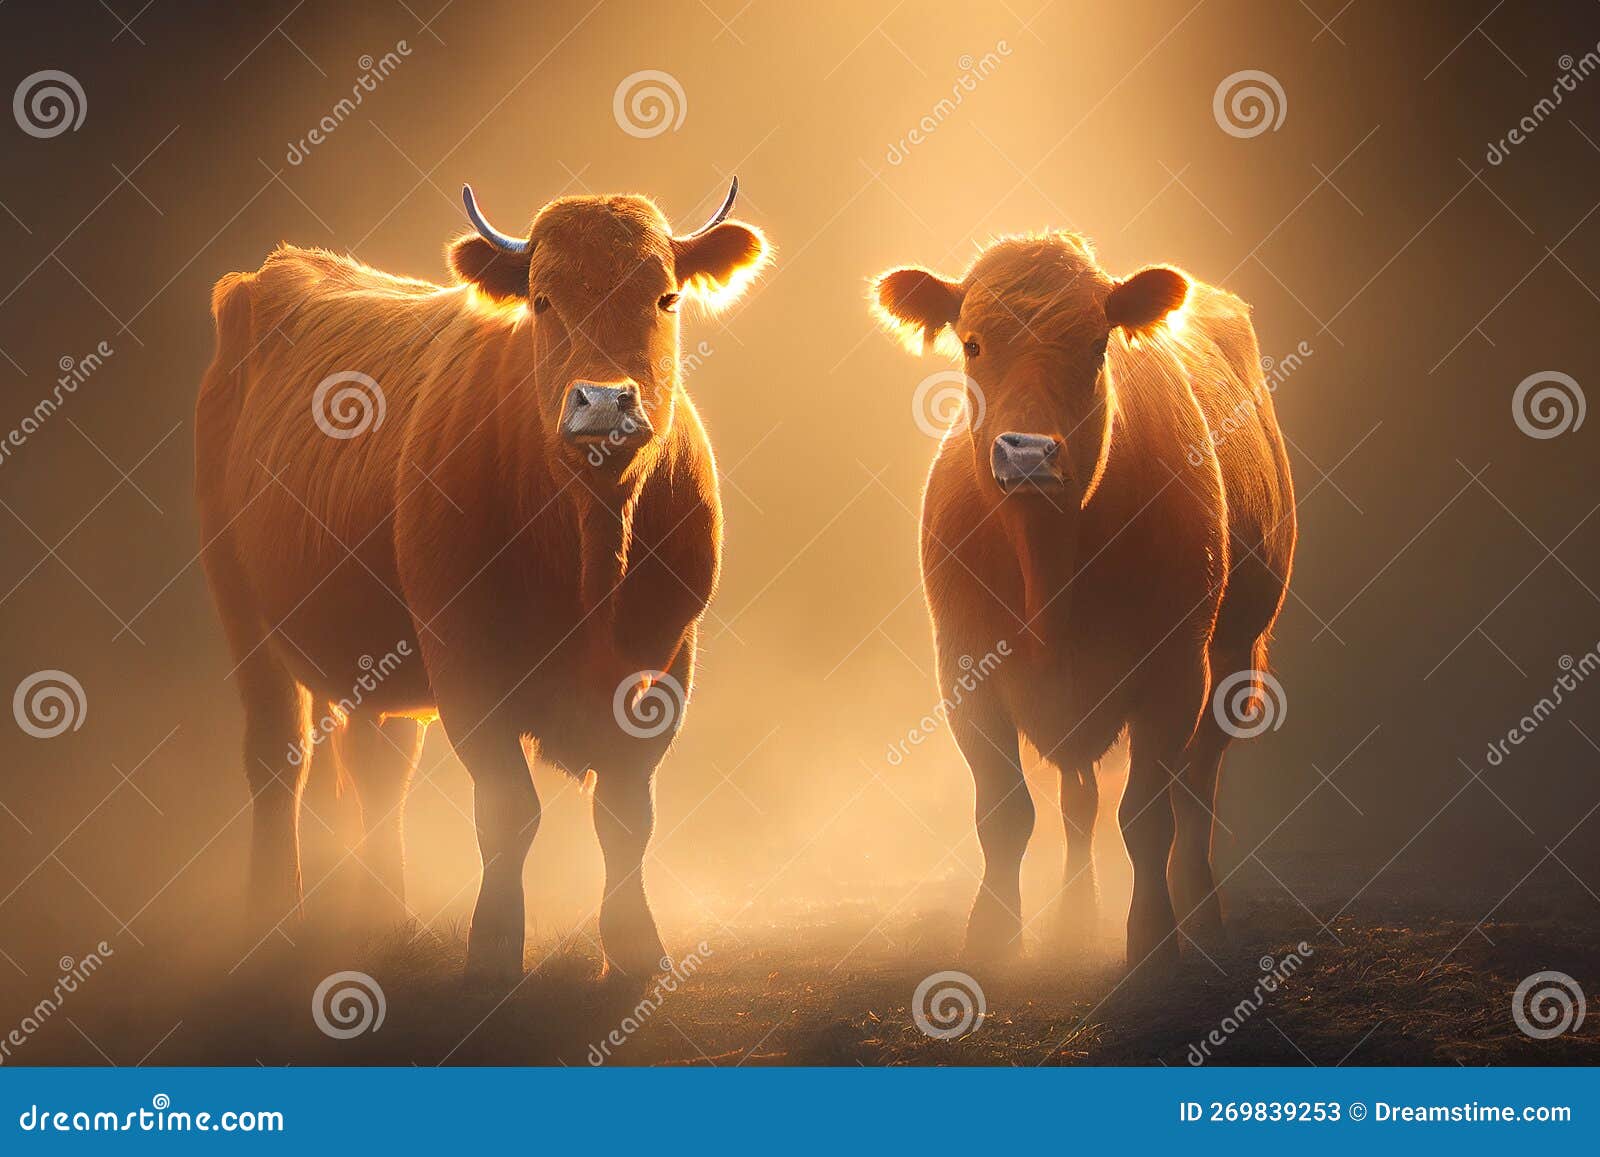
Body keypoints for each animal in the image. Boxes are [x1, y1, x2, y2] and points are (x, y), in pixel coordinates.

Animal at [196, 179, 768, 981]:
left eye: (665, 297)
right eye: (543, 300)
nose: (604, 401)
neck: (592, 546)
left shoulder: (668, 660)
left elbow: (627, 810)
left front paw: (635, 947)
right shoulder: (463, 658)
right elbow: (508, 810)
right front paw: (494, 948)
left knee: (378, 772)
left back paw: (381, 917)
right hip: (241, 607)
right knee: (278, 759)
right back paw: (271, 919)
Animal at [872, 232, 1295, 969]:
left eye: (1098, 345)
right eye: (972, 343)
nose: (1028, 452)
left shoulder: (1174, 673)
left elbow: (1148, 816)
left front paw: (1153, 941)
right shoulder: (965, 672)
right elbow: (1005, 813)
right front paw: (994, 937)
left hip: (1235, 653)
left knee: (1197, 793)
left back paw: (1202, 917)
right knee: (1079, 800)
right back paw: (1073, 915)